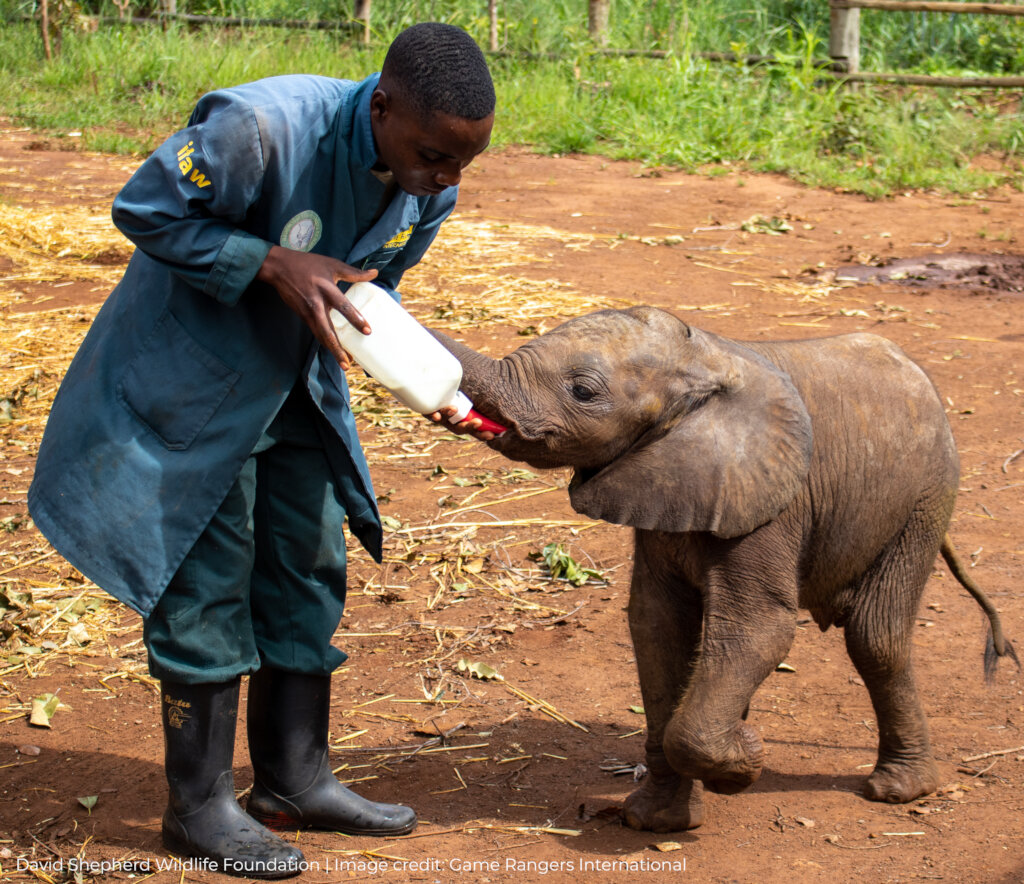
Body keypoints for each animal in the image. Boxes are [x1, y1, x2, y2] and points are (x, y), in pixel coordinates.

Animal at [431, 306, 1017, 832]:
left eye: (583, 391)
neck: (703, 362)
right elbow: (657, 626)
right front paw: (654, 822)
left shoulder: (771, 503)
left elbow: (757, 629)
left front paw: (743, 765)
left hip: (926, 498)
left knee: (875, 635)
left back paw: (897, 791)